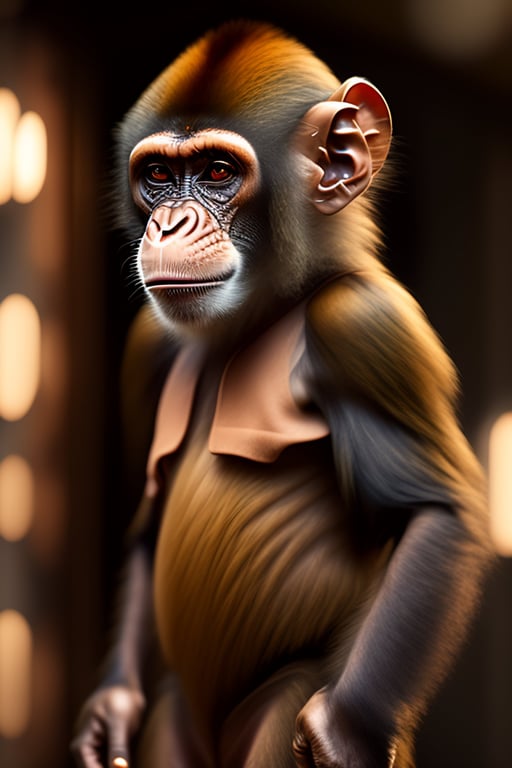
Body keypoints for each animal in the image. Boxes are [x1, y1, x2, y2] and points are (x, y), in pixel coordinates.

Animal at [71, 19, 494, 768]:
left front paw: (342, 731)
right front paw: (110, 709)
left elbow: (438, 513)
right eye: (158, 176)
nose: (169, 224)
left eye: (217, 172)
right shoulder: (147, 350)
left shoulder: (365, 327)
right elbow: (147, 526)